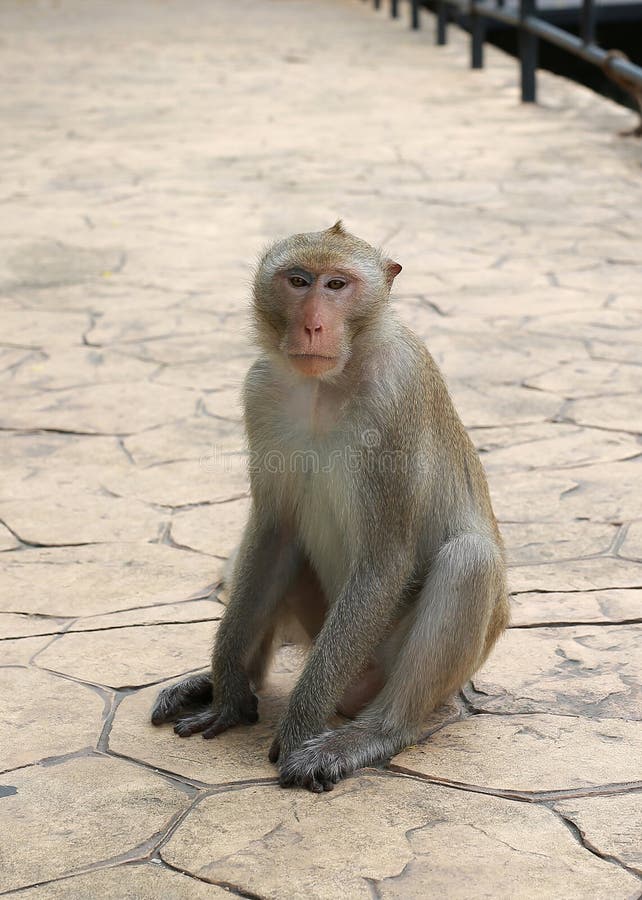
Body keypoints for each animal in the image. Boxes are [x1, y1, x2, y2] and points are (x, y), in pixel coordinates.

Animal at [151, 221, 510, 793]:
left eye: (338, 285)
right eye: (299, 281)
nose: (313, 324)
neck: (328, 383)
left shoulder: (397, 392)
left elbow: (385, 560)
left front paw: (300, 726)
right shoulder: (260, 389)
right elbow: (272, 533)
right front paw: (227, 688)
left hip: (392, 660)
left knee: (470, 559)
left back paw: (374, 733)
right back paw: (229, 683)